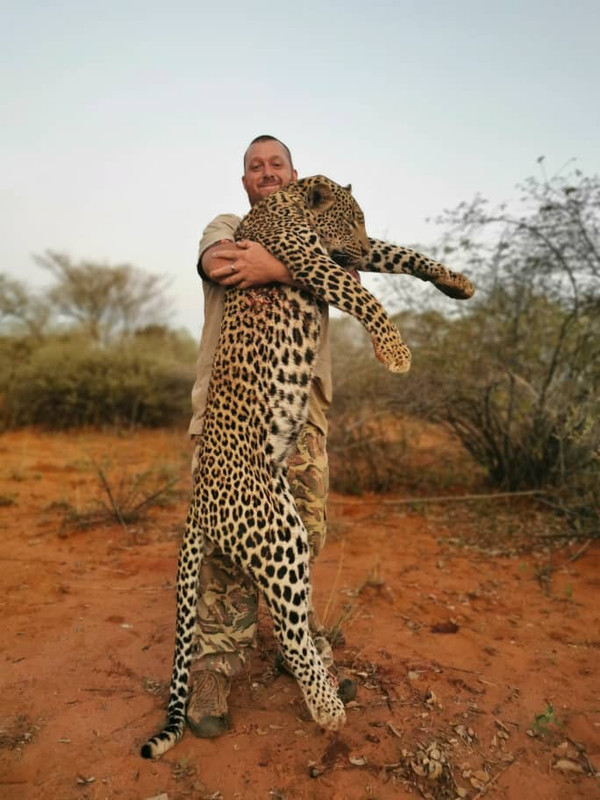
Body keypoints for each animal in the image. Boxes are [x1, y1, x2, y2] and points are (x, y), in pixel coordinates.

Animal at [141, 176, 474, 759]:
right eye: (352, 217)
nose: (358, 246)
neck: (290, 198)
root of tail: (198, 501)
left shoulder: (338, 254)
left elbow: (401, 253)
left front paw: (457, 283)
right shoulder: (307, 259)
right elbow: (363, 293)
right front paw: (397, 353)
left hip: (289, 519)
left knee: (292, 614)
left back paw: (329, 686)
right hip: (277, 535)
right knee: (288, 629)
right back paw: (327, 709)